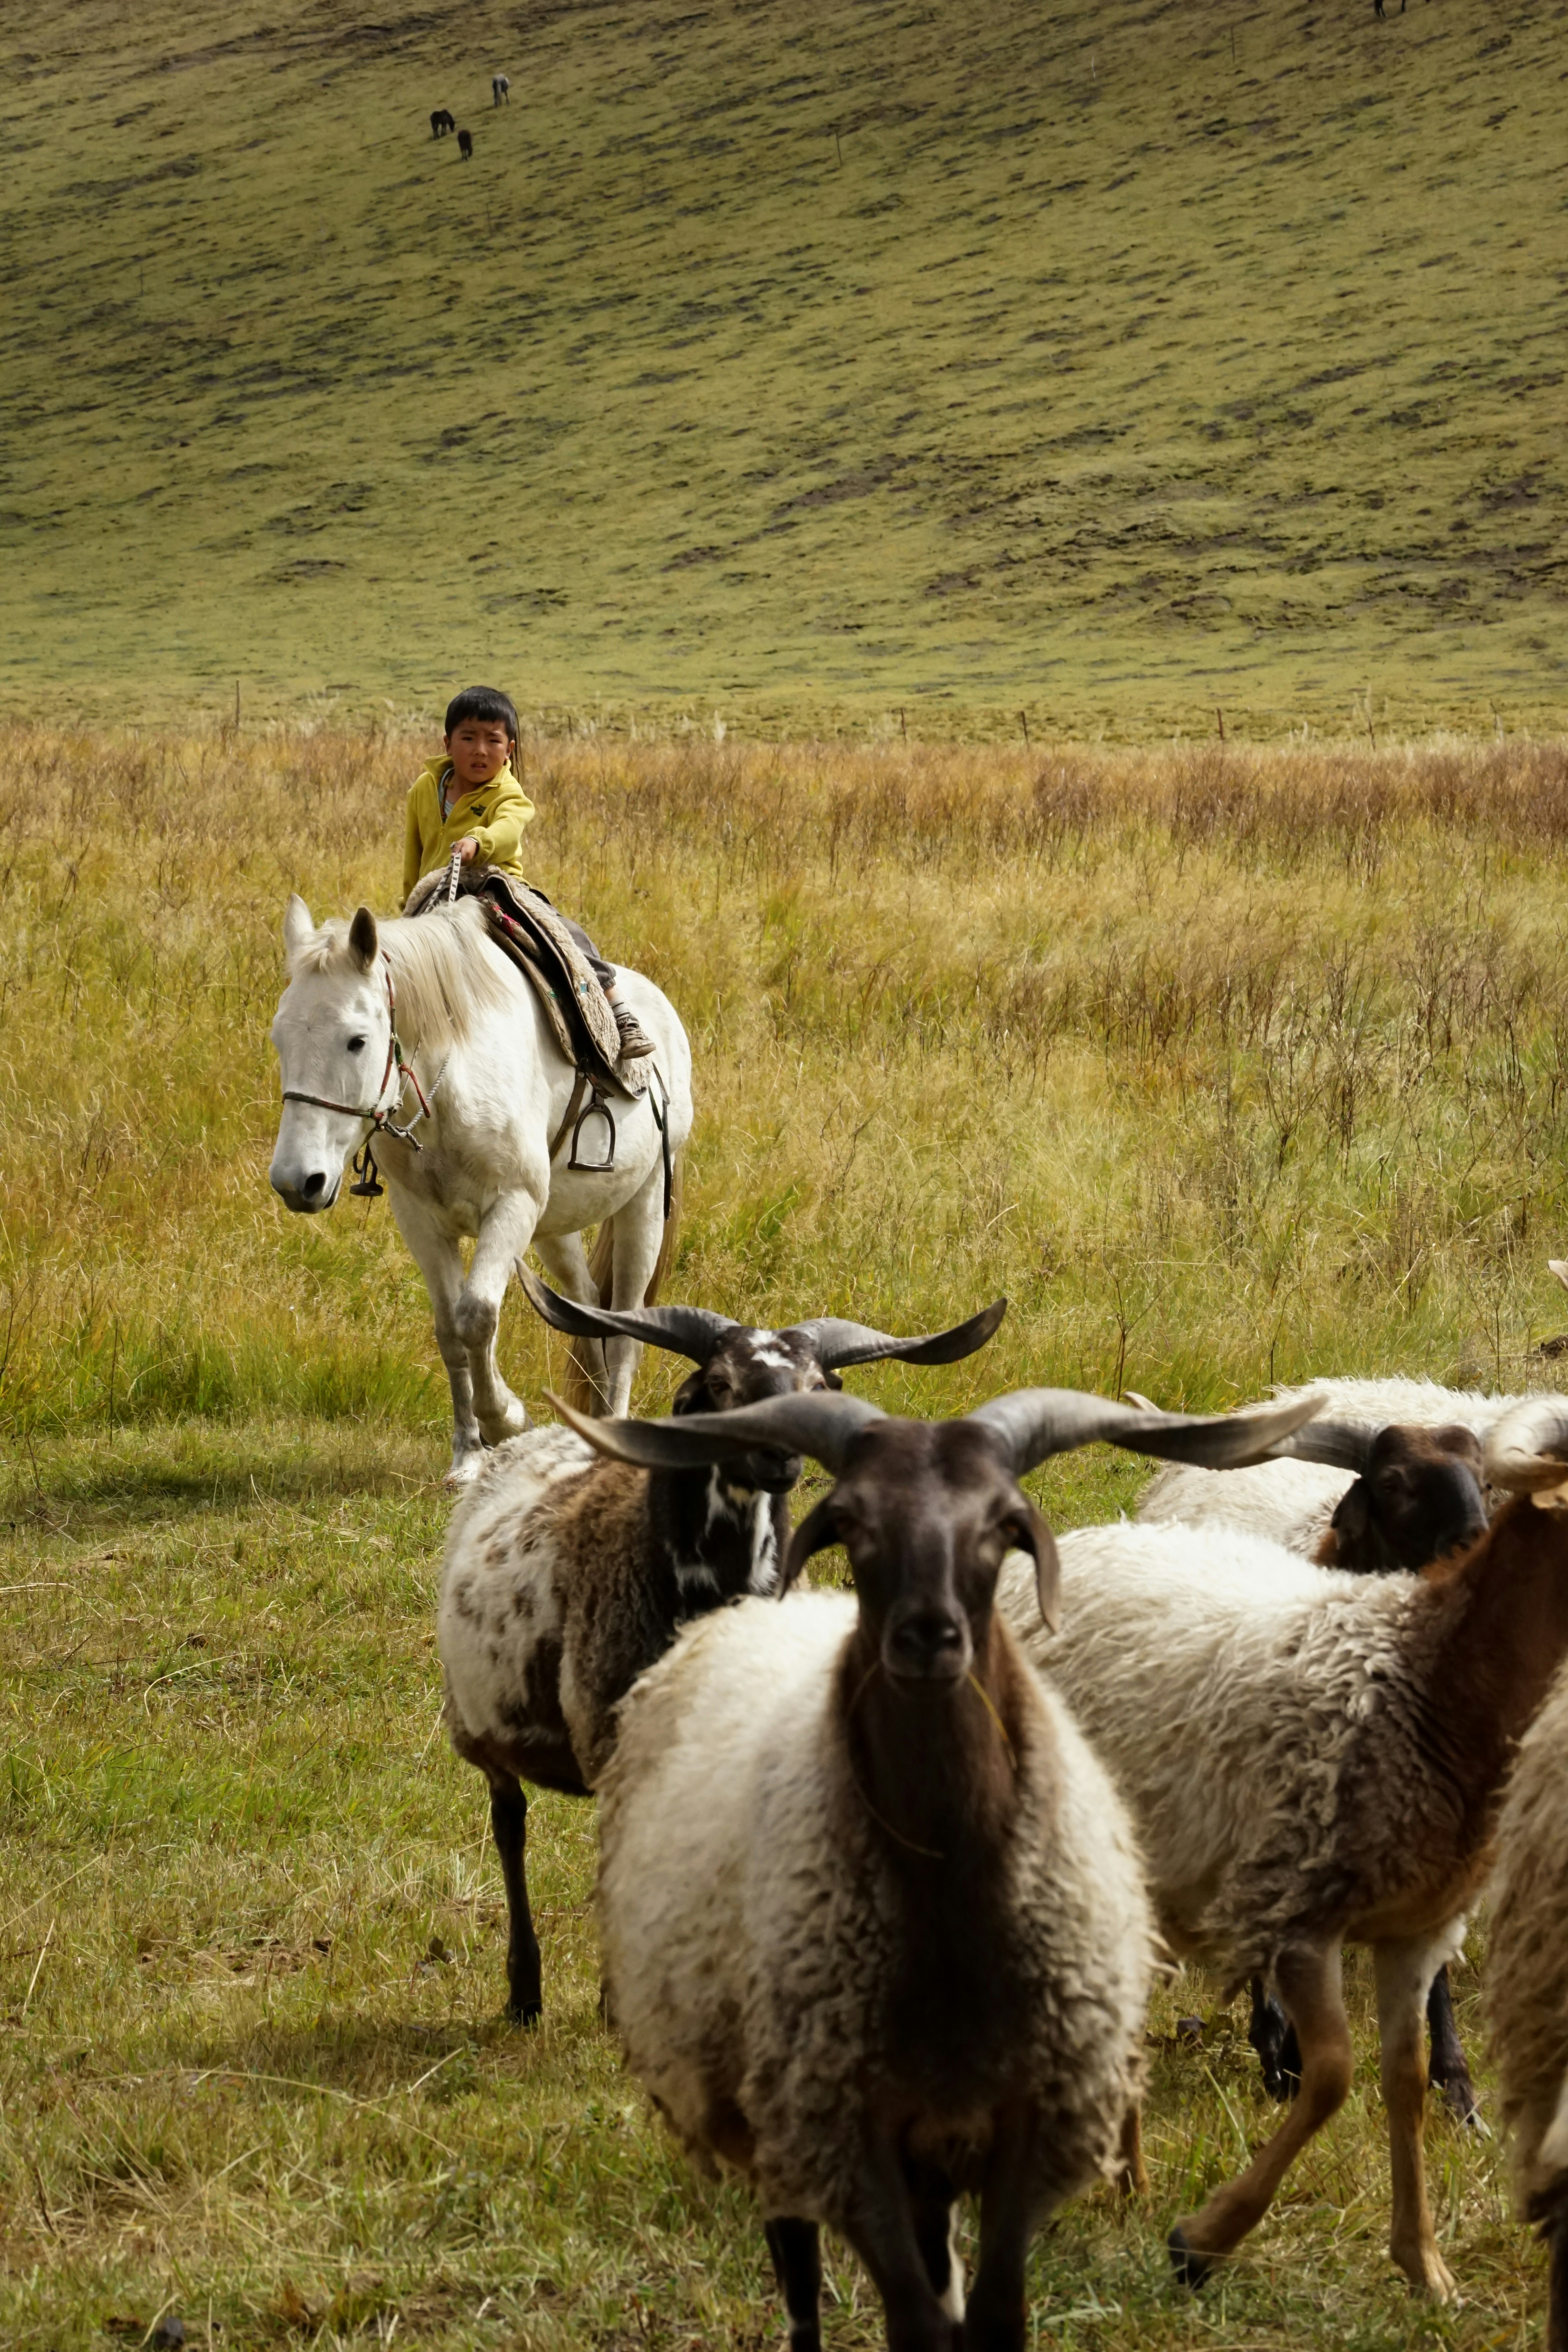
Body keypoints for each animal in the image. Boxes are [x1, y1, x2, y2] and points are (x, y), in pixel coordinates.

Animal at [268, 896, 693, 1485]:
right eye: (280, 1037)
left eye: (357, 1041)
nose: (296, 1182)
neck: (448, 1085)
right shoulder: (421, 1220)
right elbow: (451, 1330)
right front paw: (468, 1453)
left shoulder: (511, 1206)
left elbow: (478, 1318)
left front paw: (505, 1421)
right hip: (554, 1230)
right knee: (586, 1305)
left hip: (643, 1209)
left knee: (626, 1327)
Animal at [438, 1273, 1006, 2024]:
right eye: (720, 1382)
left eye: (819, 1385)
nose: (781, 1453)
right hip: (480, 1726)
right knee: (510, 1825)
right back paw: (524, 1991)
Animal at [561, 1379, 1321, 2349]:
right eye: (849, 1519)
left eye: (1003, 1522)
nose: (928, 1635)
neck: (943, 1901)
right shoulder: (852, 2137)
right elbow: (914, 2320)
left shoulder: (1023, 2134)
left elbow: (991, 2315)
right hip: (781, 2105)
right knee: (797, 2266)